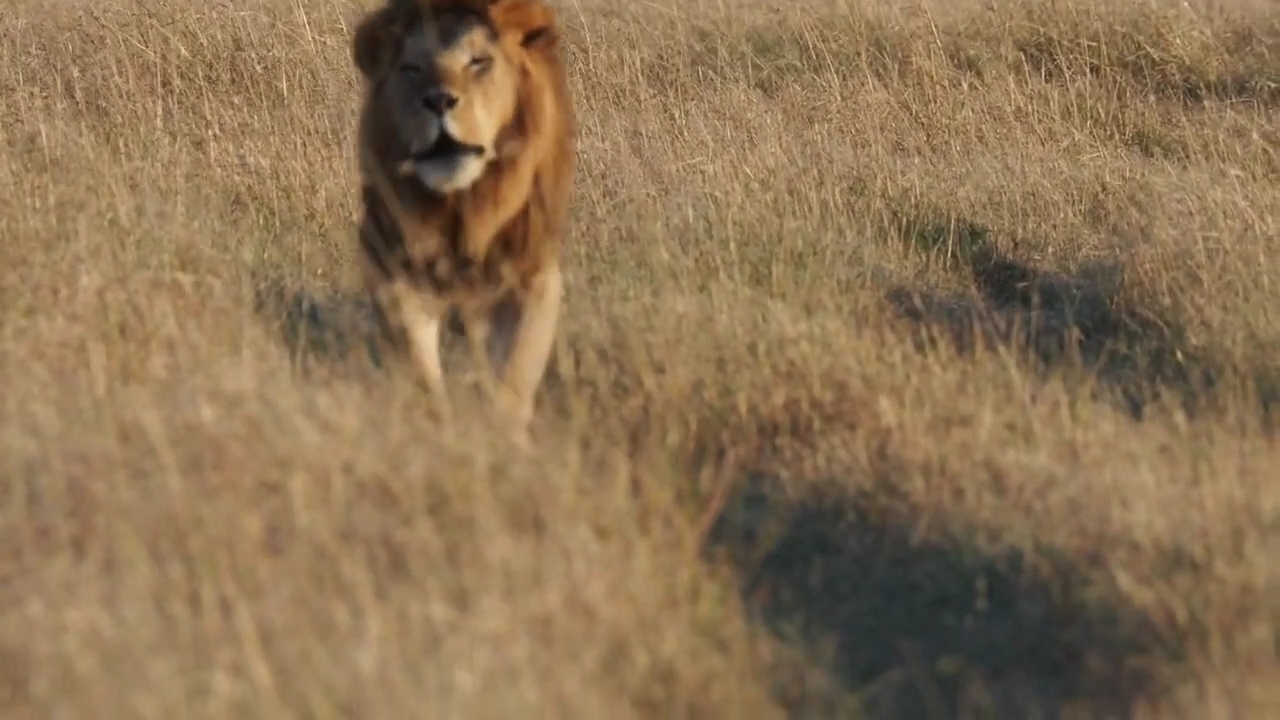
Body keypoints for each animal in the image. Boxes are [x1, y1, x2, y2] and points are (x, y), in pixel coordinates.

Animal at [350, 0, 575, 447]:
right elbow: (419, 369)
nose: (438, 100)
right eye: (412, 68)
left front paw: (505, 441)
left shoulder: (533, 275)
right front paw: (435, 432)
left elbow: (515, 373)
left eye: (478, 62)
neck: (462, 208)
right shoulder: (391, 267)